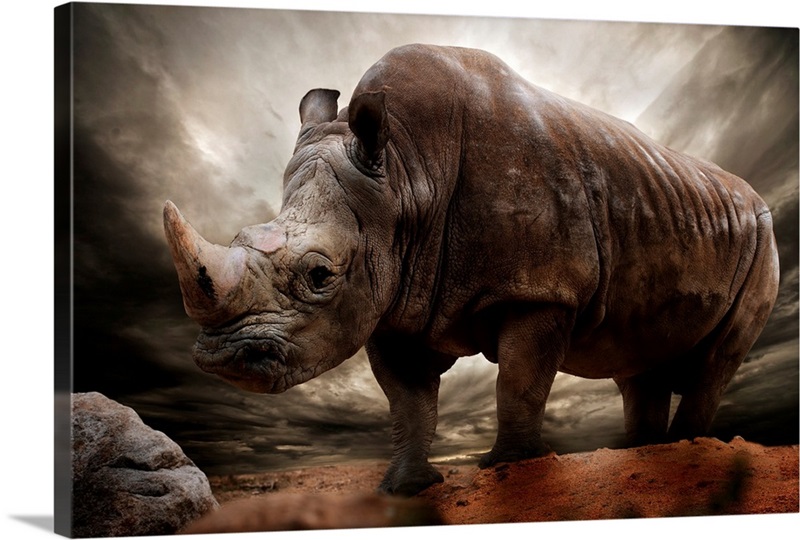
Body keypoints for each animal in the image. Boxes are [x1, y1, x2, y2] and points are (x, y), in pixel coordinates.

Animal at [163, 44, 780, 496]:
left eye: (319, 274)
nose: (221, 361)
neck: (406, 173)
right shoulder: (392, 294)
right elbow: (408, 401)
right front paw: (405, 489)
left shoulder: (542, 287)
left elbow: (519, 382)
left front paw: (510, 470)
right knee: (640, 359)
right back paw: (647, 457)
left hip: (763, 236)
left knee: (717, 361)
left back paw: (686, 454)